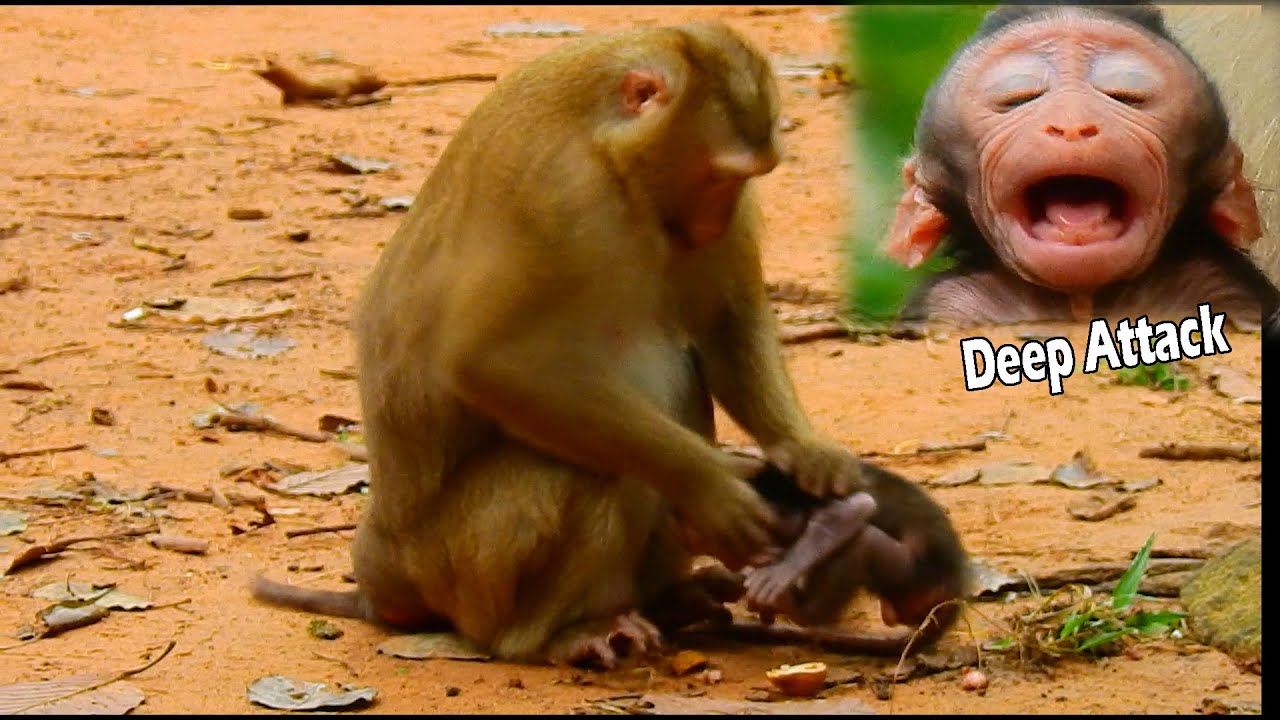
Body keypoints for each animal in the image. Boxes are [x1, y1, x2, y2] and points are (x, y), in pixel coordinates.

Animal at [252, 21, 870, 670]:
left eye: (748, 179)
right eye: (718, 175)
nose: (718, 222)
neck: (610, 155)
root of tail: (384, 571)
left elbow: (724, 322)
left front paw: (807, 453)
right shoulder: (556, 190)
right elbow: (486, 360)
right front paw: (709, 485)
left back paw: (670, 598)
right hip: (458, 571)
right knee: (581, 472)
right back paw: (560, 633)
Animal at [881, 1, 1280, 330]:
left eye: (1126, 96)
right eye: (1017, 99)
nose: (1072, 125)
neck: (1083, 302)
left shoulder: (1219, 287)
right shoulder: (952, 302)